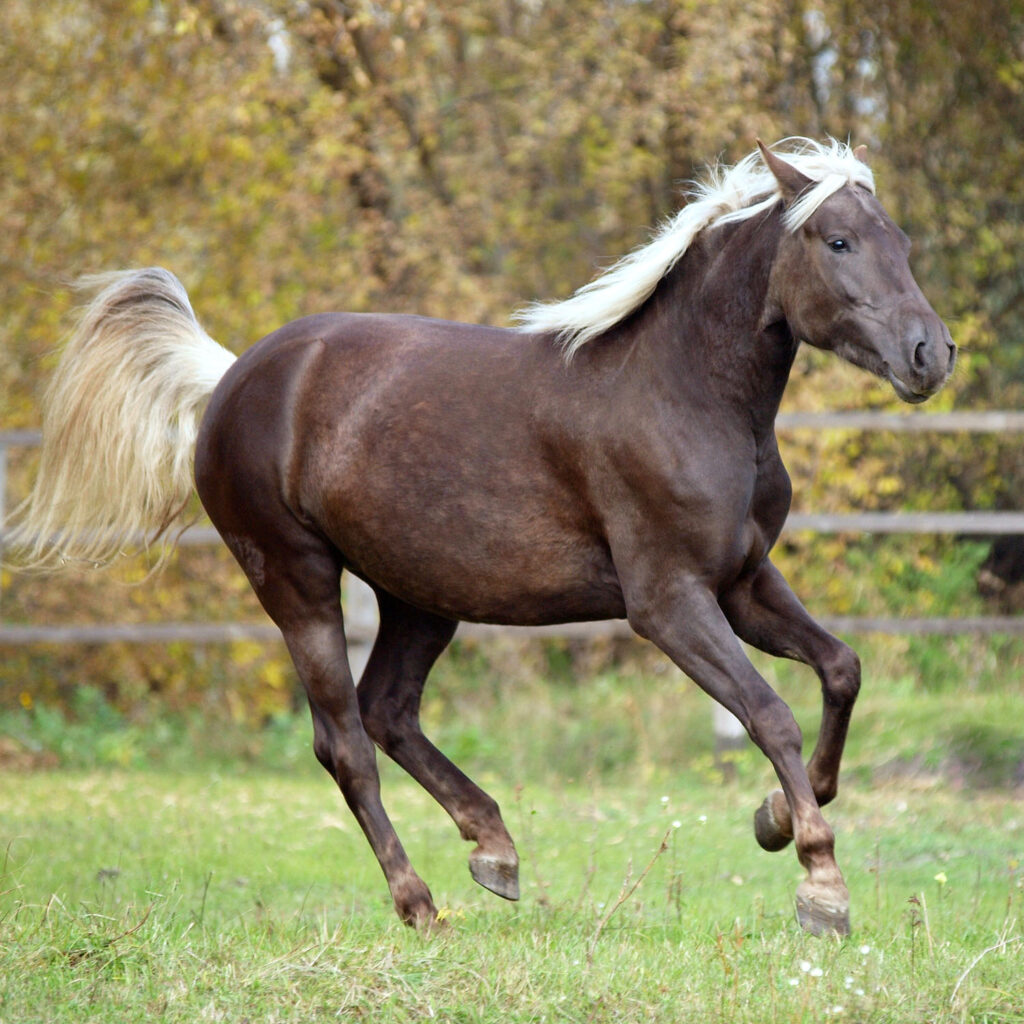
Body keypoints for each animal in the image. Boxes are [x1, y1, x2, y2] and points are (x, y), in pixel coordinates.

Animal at [7, 138, 955, 936]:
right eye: (837, 241)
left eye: (901, 240)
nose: (929, 354)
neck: (685, 390)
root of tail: (235, 376)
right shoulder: (669, 602)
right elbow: (769, 714)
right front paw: (821, 885)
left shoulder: (743, 582)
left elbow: (840, 669)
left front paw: (774, 818)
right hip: (296, 579)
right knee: (344, 741)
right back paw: (419, 903)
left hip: (420, 594)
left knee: (389, 710)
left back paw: (493, 849)